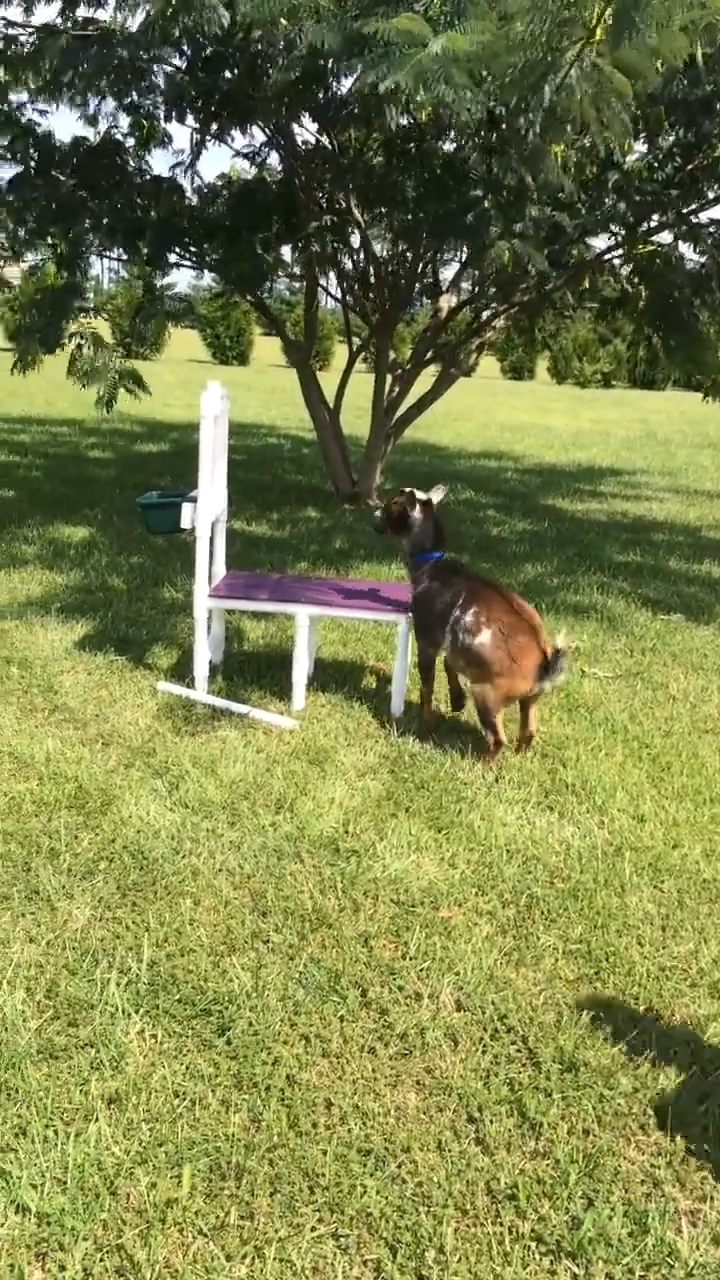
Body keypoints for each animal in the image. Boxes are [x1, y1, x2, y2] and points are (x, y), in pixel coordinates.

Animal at [372, 484, 568, 757]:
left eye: (391, 504)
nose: (374, 513)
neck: (431, 566)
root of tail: (544, 662)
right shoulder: (454, 644)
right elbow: (449, 664)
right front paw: (456, 701)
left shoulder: (427, 638)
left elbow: (427, 681)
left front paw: (428, 718)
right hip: (530, 699)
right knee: (528, 731)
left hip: (486, 694)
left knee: (498, 739)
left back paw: (482, 762)